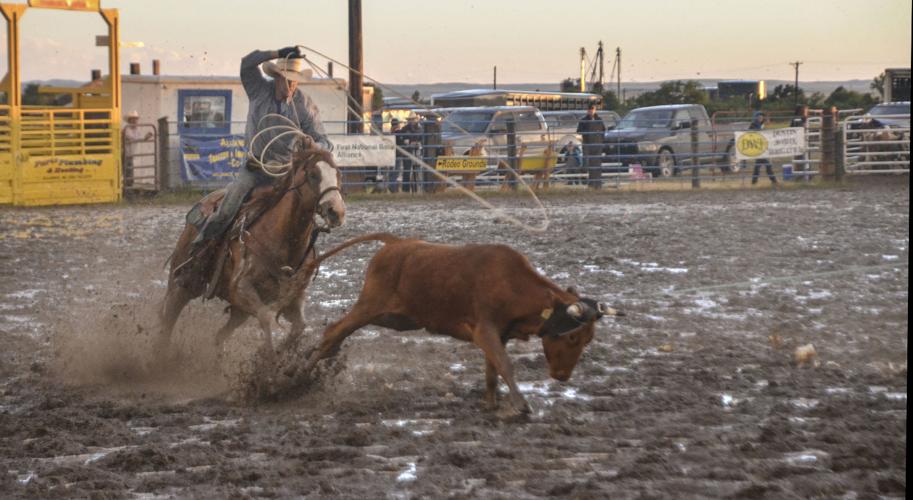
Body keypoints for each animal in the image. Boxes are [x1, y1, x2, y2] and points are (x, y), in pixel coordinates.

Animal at [290, 233, 622, 417]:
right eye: (572, 338)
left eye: (588, 340)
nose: (562, 377)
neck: (511, 284)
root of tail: (395, 243)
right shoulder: (484, 331)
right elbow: (505, 365)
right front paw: (521, 404)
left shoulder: (498, 335)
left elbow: (493, 370)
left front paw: (490, 402)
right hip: (371, 305)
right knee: (335, 330)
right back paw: (301, 372)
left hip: (396, 317)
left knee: (336, 331)